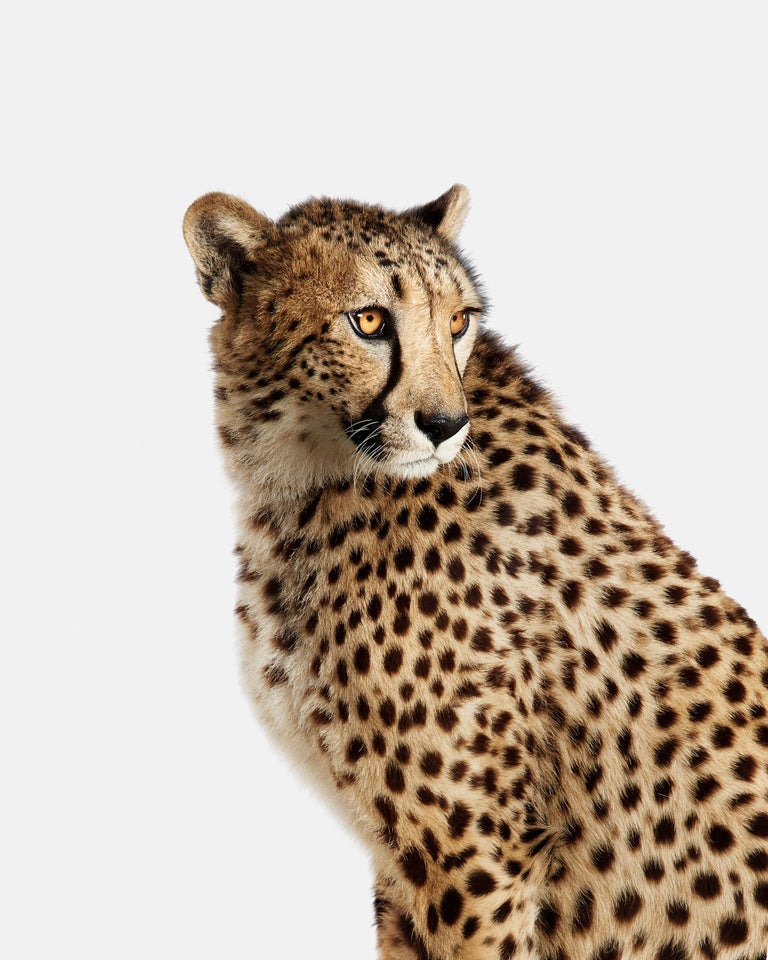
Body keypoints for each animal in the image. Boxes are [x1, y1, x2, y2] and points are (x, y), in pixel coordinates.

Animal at [183, 184, 768, 960]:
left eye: (458, 321)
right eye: (369, 320)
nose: (444, 425)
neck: (309, 480)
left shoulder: (475, 850)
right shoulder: (409, 856)